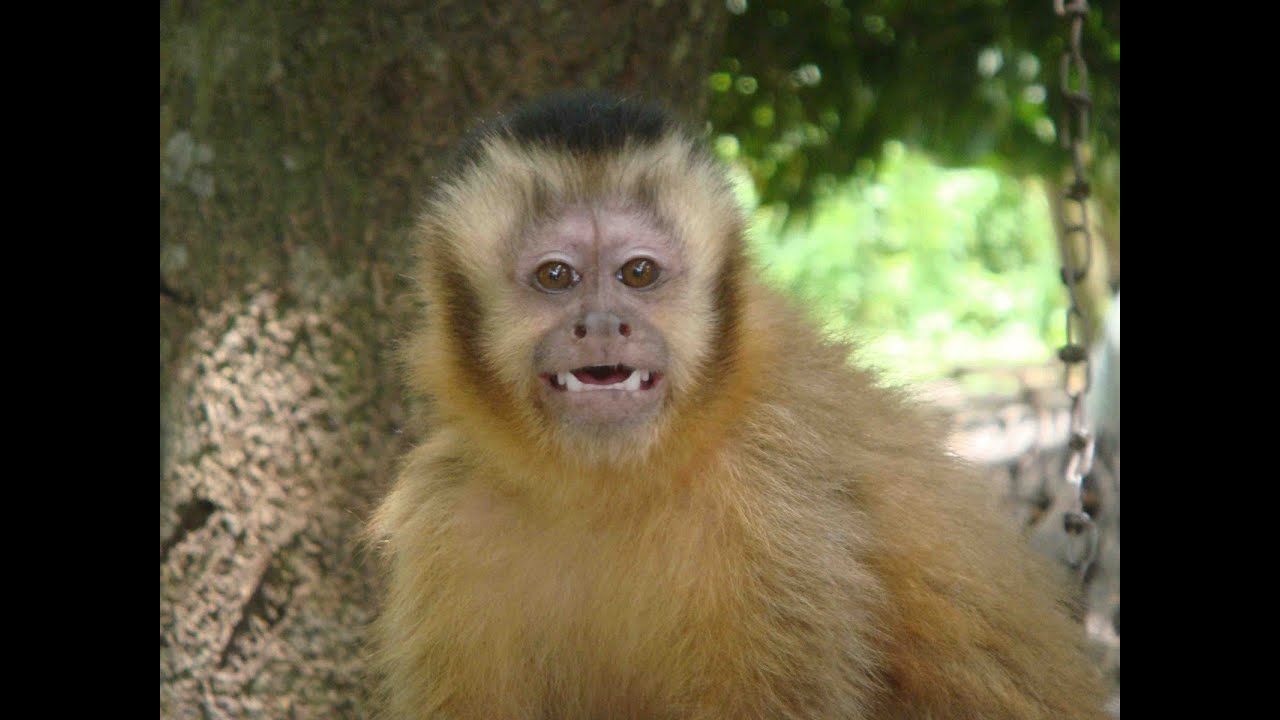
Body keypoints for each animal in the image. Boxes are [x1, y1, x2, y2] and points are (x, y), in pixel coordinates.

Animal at [369, 91, 1108, 719]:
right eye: (556, 277)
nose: (603, 324)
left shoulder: (769, 496)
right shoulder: (448, 514)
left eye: (638, 273)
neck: (616, 479)